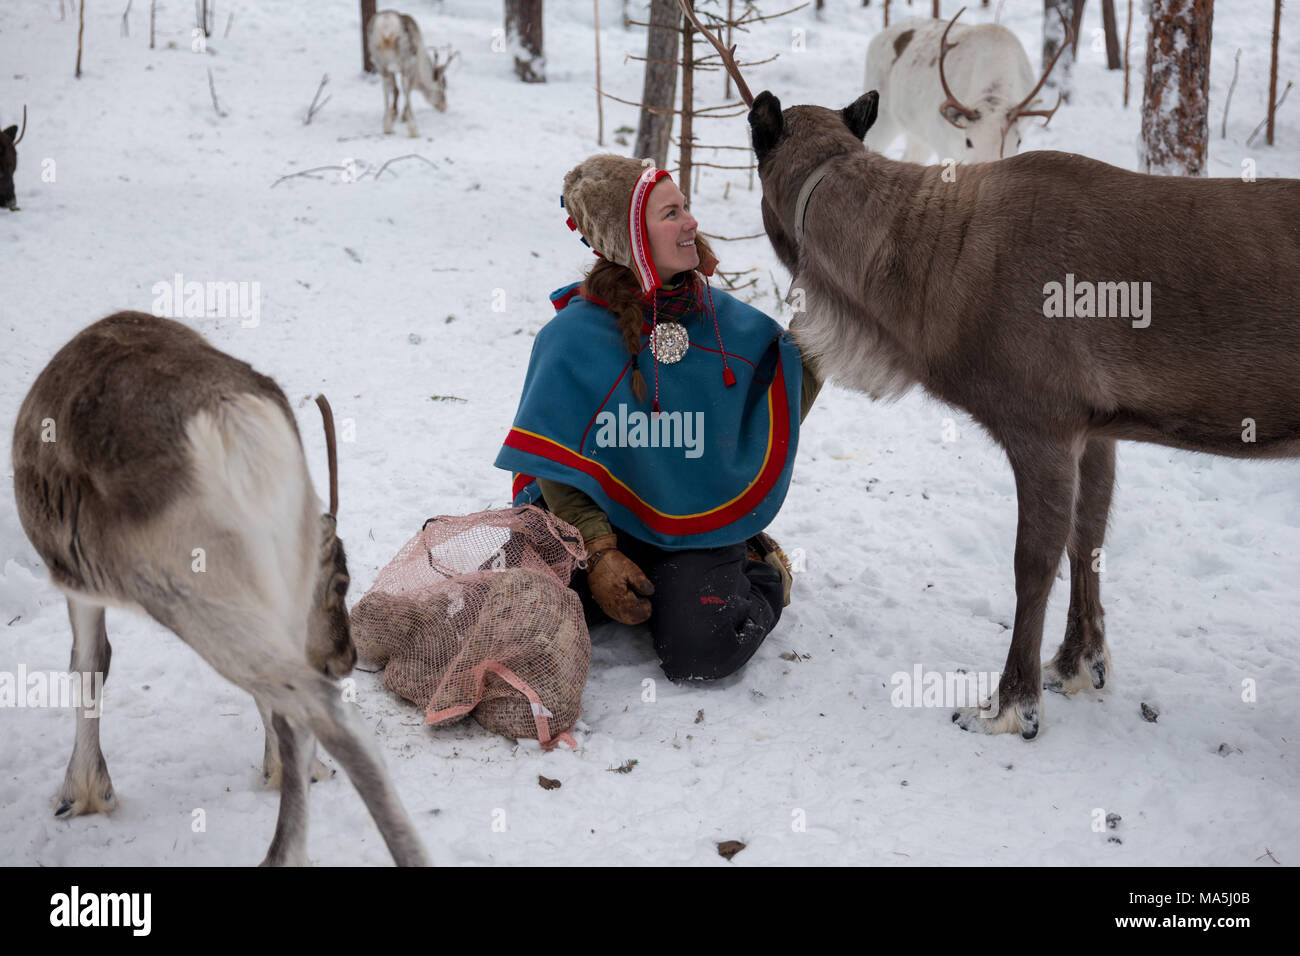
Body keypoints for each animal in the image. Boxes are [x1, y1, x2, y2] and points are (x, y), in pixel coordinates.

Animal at [11, 312, 431, 865]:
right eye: (342, 581)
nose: (347, 657)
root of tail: (234, 424)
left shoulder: (79, 585)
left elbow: (89, 663)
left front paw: (83, 795)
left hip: (191, 593)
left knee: (334, 718)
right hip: (270, 586)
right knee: (294, 714)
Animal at [863, 7, 1067, 163]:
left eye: (1018, 141)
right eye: (968, 141)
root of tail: (878, 36)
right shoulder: (946, 148)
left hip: (917, 133)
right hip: (883, 116)